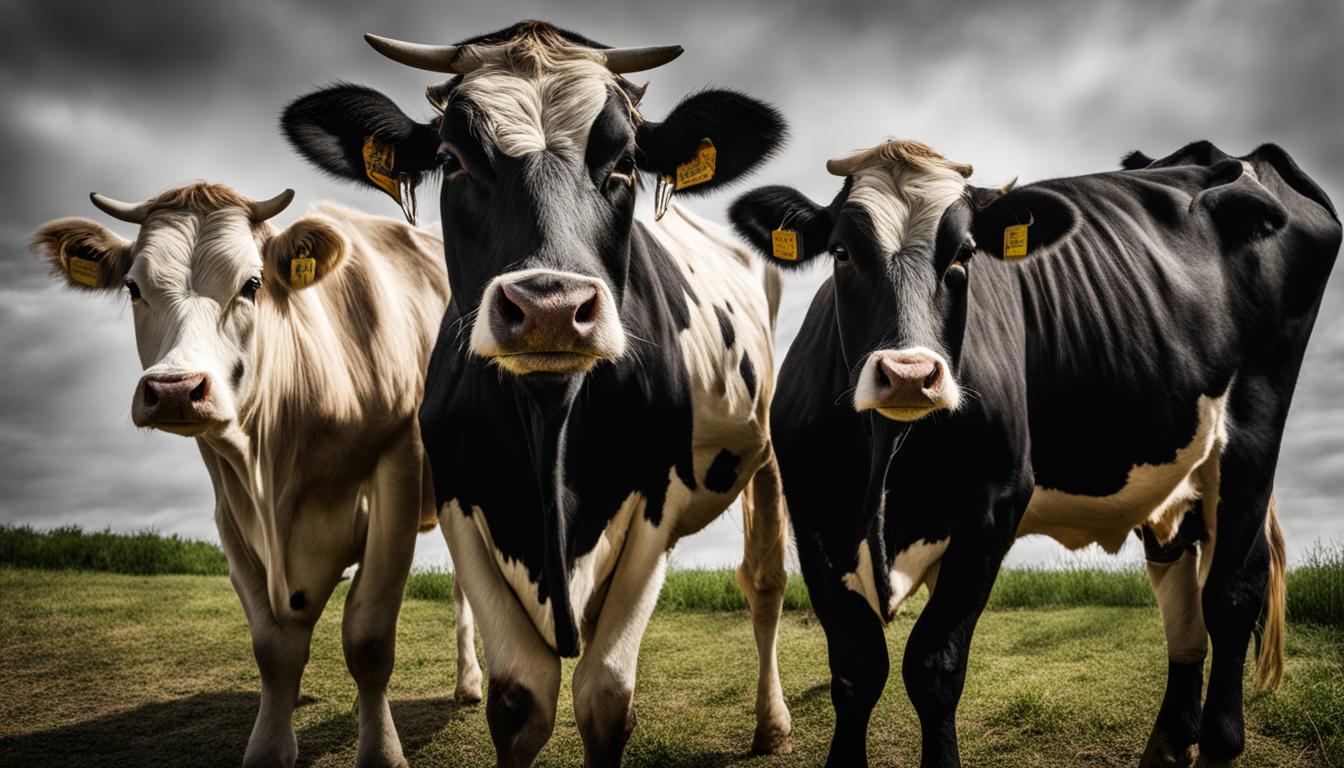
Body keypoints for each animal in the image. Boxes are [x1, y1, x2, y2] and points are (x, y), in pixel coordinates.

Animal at [31, 184, 476, 768]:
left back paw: (472, 683)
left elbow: (368, 637)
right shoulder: (231, 506)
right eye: (133, 287)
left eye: (252, 283)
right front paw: (270, 743)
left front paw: (381, 752)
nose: (175, 389)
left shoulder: (397, 468)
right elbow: (273, 646)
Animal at [279, 21, 795, 767]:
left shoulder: (654, 506)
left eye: (624, 162)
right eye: (453, 158)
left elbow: (604, 699)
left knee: (765, 584)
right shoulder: (463, 497)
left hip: (767, 453)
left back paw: (772, 723)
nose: (550, 307)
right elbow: (520, 699)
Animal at [729, 138, 1339, 767]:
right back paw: (1171, 743)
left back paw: (1219, 740)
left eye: (965, 253)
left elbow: (933, 665)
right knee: (1182, 598)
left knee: (1233, 591)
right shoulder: (812, 511)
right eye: (841, 251)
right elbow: (857, 667)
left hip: (1253, 435)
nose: (909, 375)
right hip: (1175, 476)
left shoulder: (992, 505)